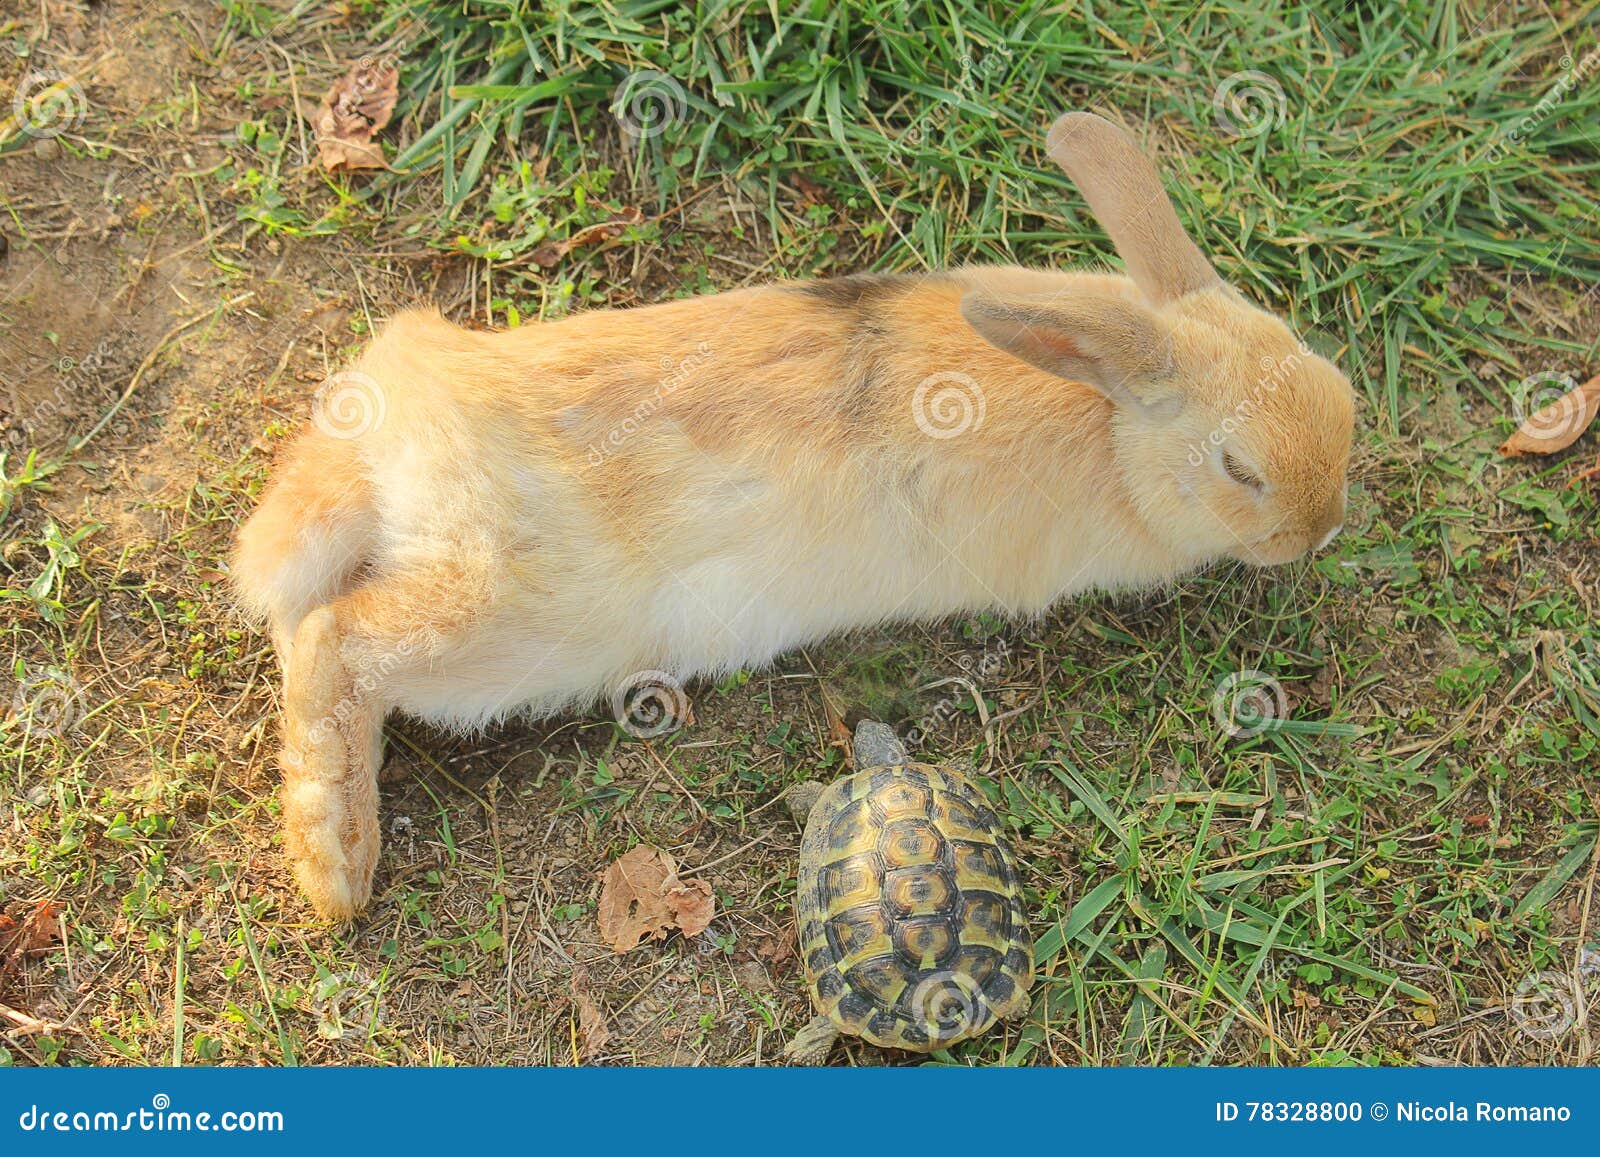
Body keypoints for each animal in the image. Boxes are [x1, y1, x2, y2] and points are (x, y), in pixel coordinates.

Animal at [233, 110, 1354, 919]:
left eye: (1338, 391)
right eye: (1240, 467)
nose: (1320, 530)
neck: (1114, 422)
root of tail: (388, 423)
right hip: (508, 621)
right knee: (336, 638)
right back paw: (336, 867)